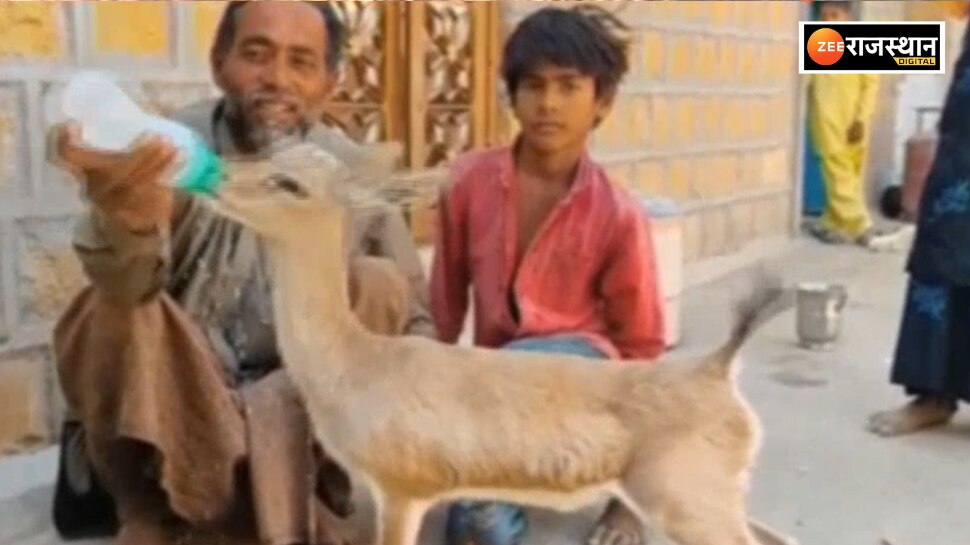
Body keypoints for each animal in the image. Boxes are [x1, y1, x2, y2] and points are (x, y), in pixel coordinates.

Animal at [207, 142, 789, 545]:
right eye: (272, 153)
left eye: (289, 182)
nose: (217, 179)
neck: (356, 362)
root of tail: (717, 368)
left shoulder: (402, 491)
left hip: (687, 503)